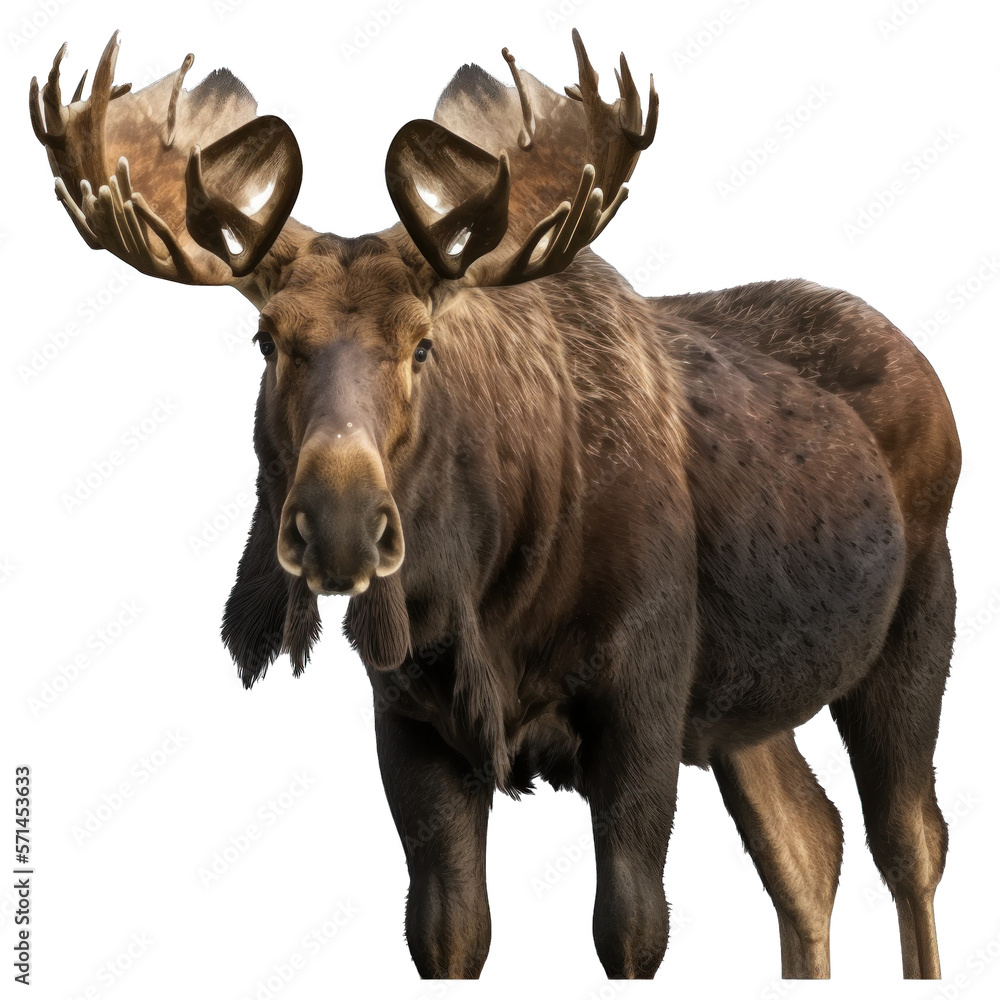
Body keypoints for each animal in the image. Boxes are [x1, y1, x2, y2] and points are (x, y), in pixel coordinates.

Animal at [30, 29, 960, 981]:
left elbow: (632, 928)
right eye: (267, 340)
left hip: (920, 618)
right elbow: (448, 931)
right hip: (746, 717)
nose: (339, 527)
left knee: (910, 841)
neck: (498, 591)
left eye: (423, 345)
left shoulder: (643, 703)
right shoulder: (412, 720)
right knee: (808, 846)